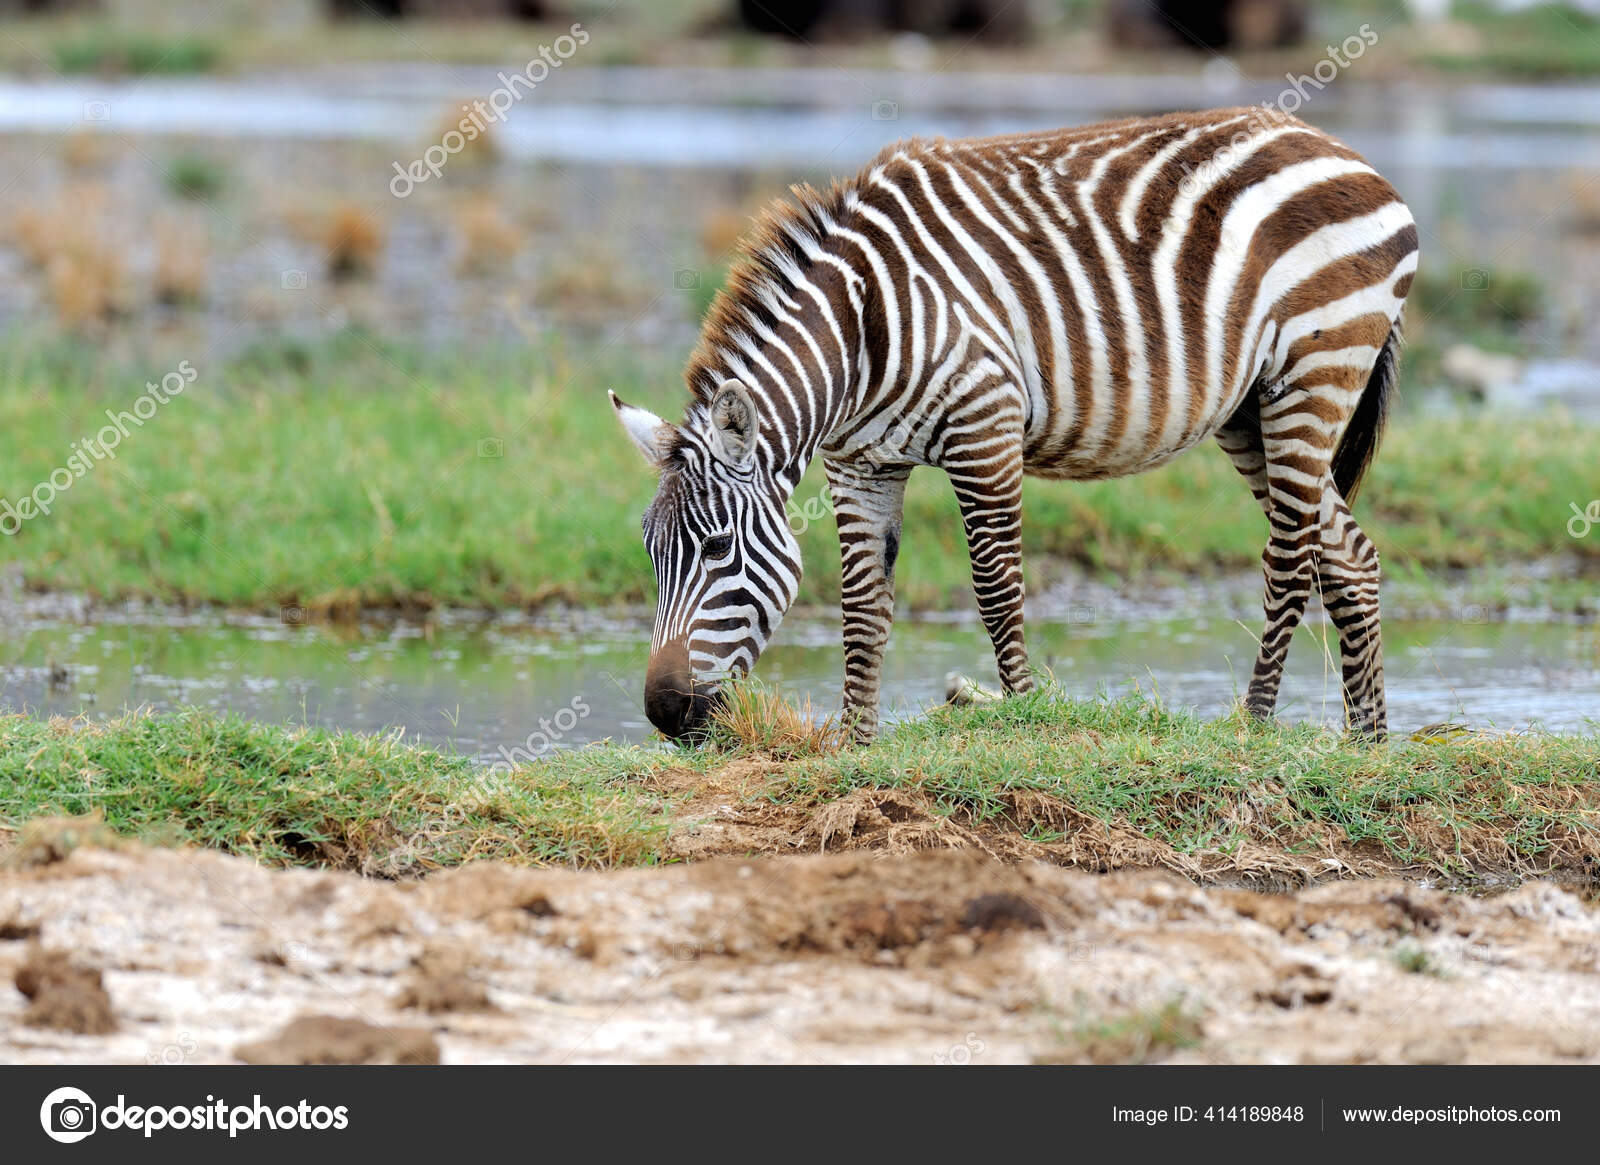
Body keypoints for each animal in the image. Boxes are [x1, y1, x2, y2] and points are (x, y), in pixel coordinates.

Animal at [611, 107, 1418, 744]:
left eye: (717, 548)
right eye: (651, 554)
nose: (662, 713)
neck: (862, 332)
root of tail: (1339, 148)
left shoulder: (984, 428)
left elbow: (996, 587)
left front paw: (1031, 718)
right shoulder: (860, 464)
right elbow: (863, 603)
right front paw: (855, 745)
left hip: (1313, 373)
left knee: (1291, 555)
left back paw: (1255, 721)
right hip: (1253, 410)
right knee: (1350, 556)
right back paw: (1367, 745)